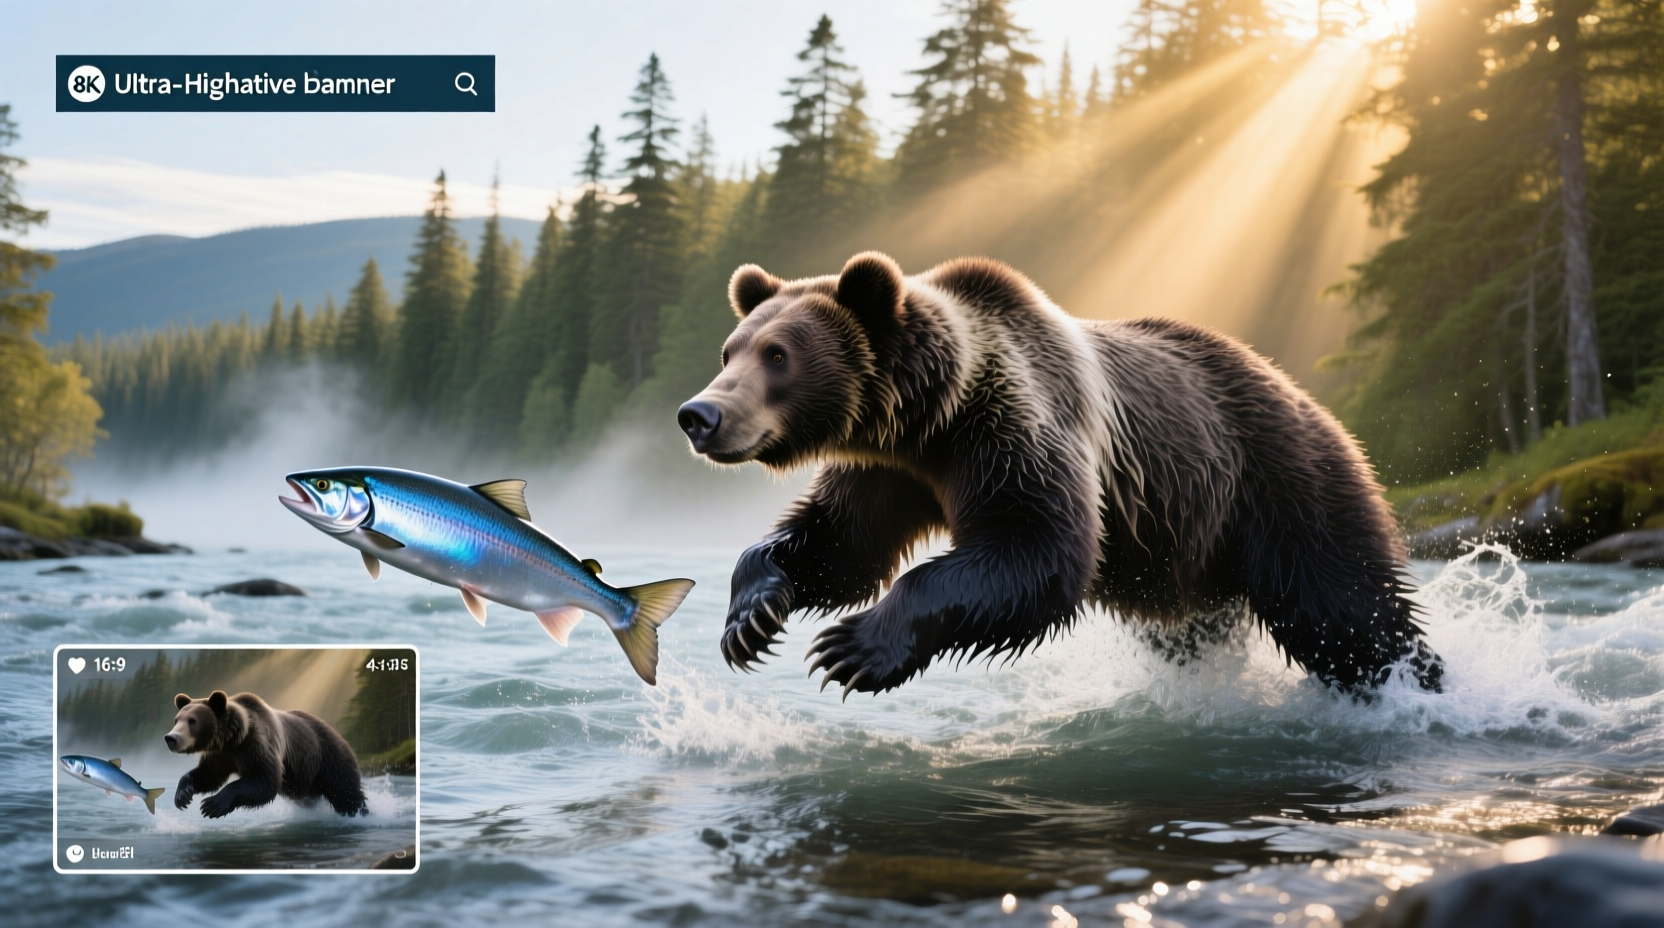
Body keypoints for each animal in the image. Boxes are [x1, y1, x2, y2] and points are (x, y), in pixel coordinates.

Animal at [166, 690, 368, 818]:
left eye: (192, 721)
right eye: (177, 719)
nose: (171, 738)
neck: (233, 740)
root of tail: (340, 735)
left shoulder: (257, 743)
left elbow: (264, 779)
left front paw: (212, 805)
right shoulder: (221, 755)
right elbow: (209, 775)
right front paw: (183, 795)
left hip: (329, 759)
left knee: (346, 792)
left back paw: (360, 813)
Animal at [676, 252, 1445, 698]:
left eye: (778, 354)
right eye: (730, 349)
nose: (698, 414)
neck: (930, 418)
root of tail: (1307, 397)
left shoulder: (1011, 425)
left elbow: (1038, 547)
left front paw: (853, 647)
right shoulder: (891, 471)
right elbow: (841, 542)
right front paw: (751, 615)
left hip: (1280, 480)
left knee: (1345, 607)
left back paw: (1415, 685)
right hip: (1193, 553)